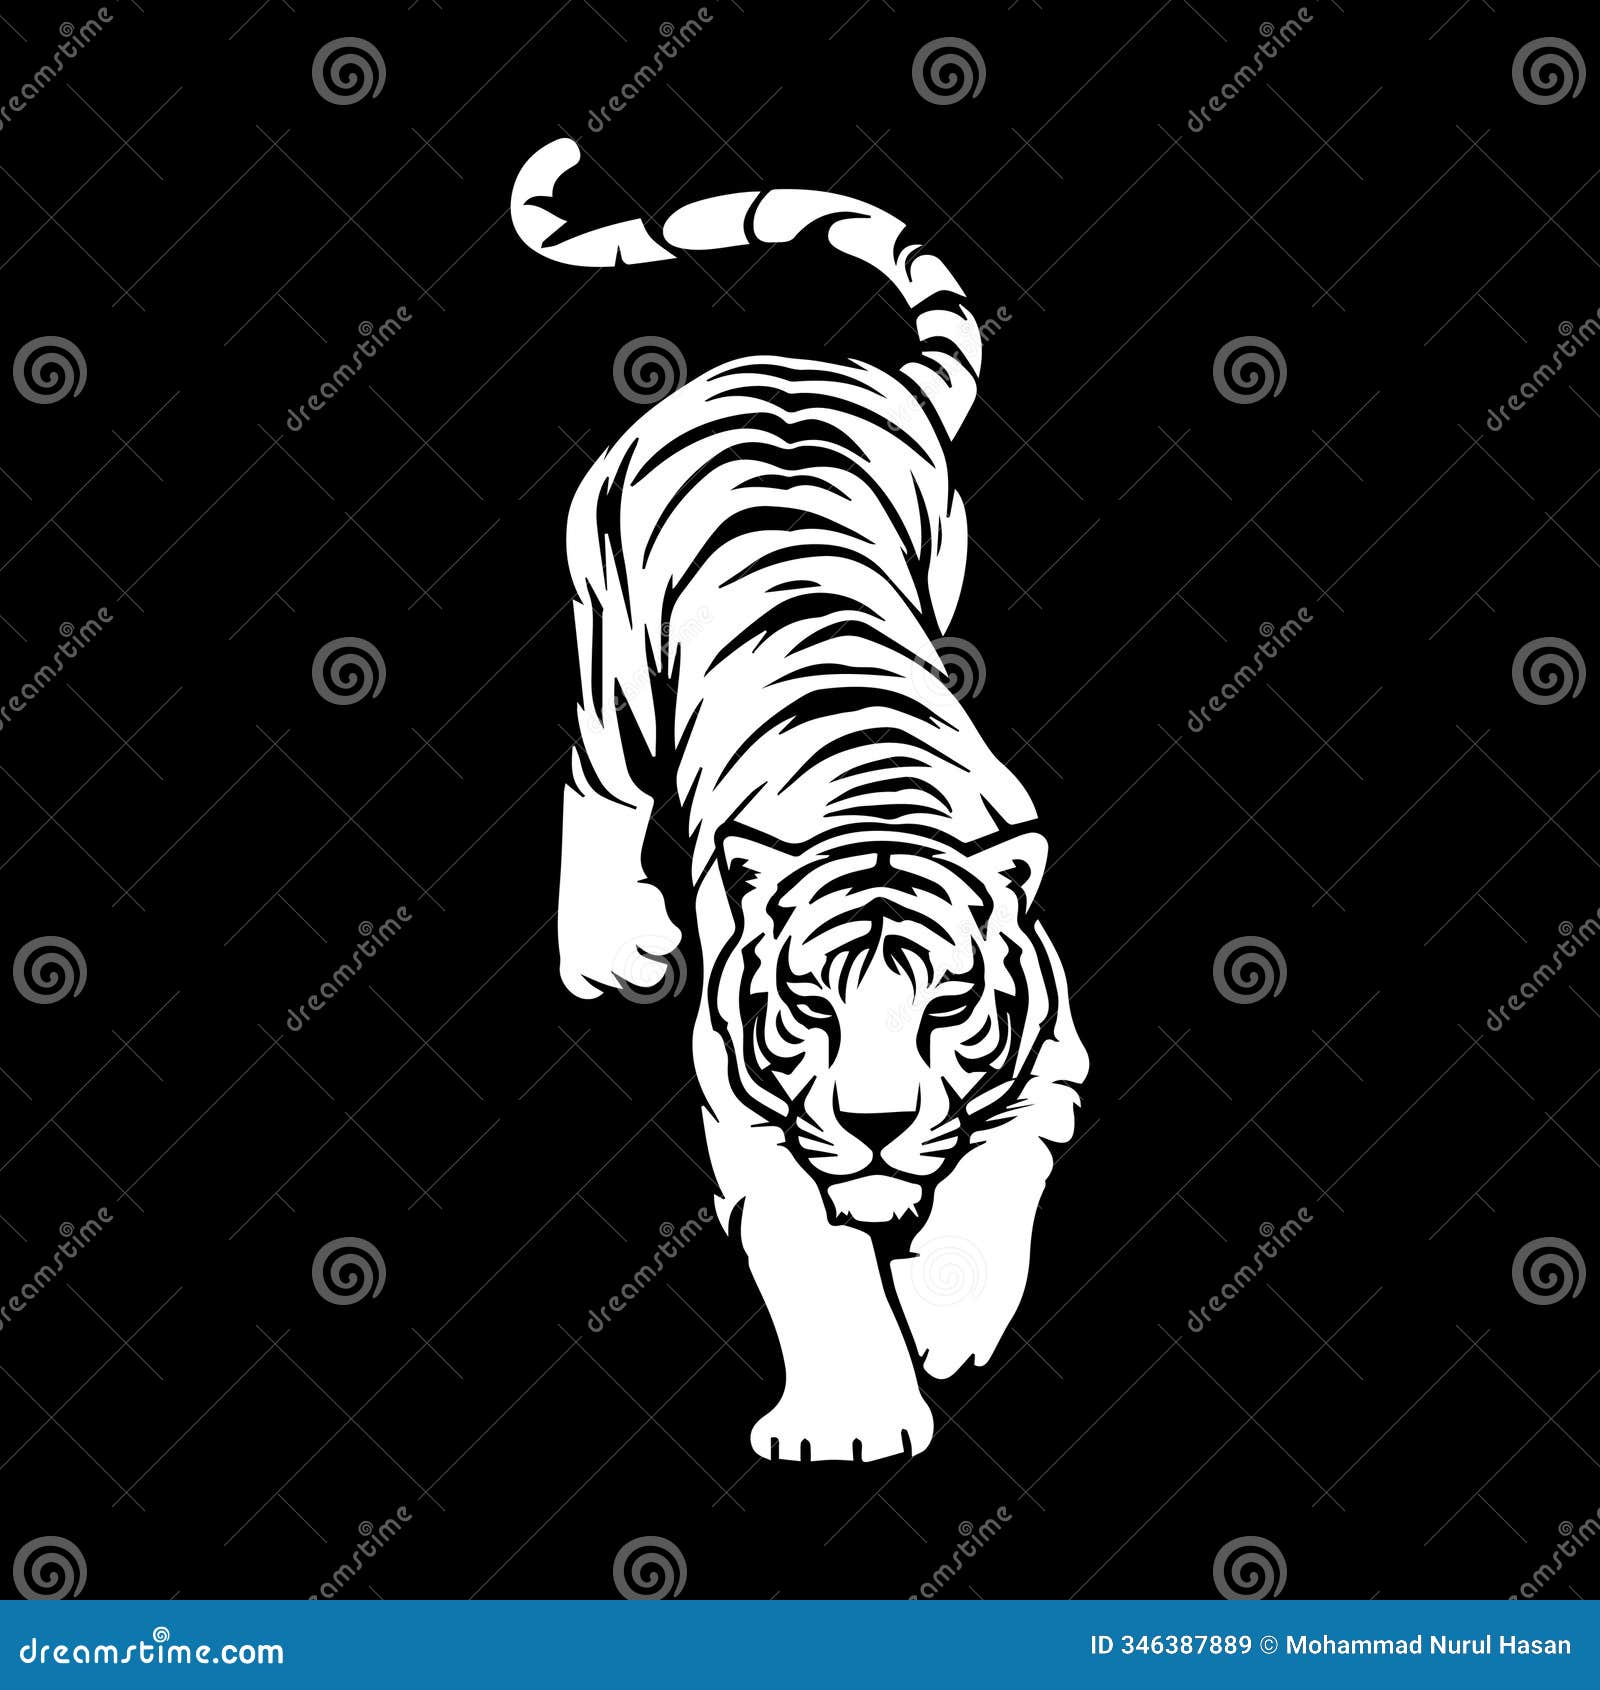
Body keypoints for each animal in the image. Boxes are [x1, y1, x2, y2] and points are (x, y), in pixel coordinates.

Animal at [512, 138, 1089, 1462]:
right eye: (811, 1008)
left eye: (949, 1007)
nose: (875, 1120)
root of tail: (791, 363)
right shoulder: (748, 1118)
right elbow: (816, 1265)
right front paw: (852, 1423)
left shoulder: (1053, 1069)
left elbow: (1001, 1182)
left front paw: (945, 1307)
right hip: (610, 649)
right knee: (595, 778)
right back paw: (606, 949)